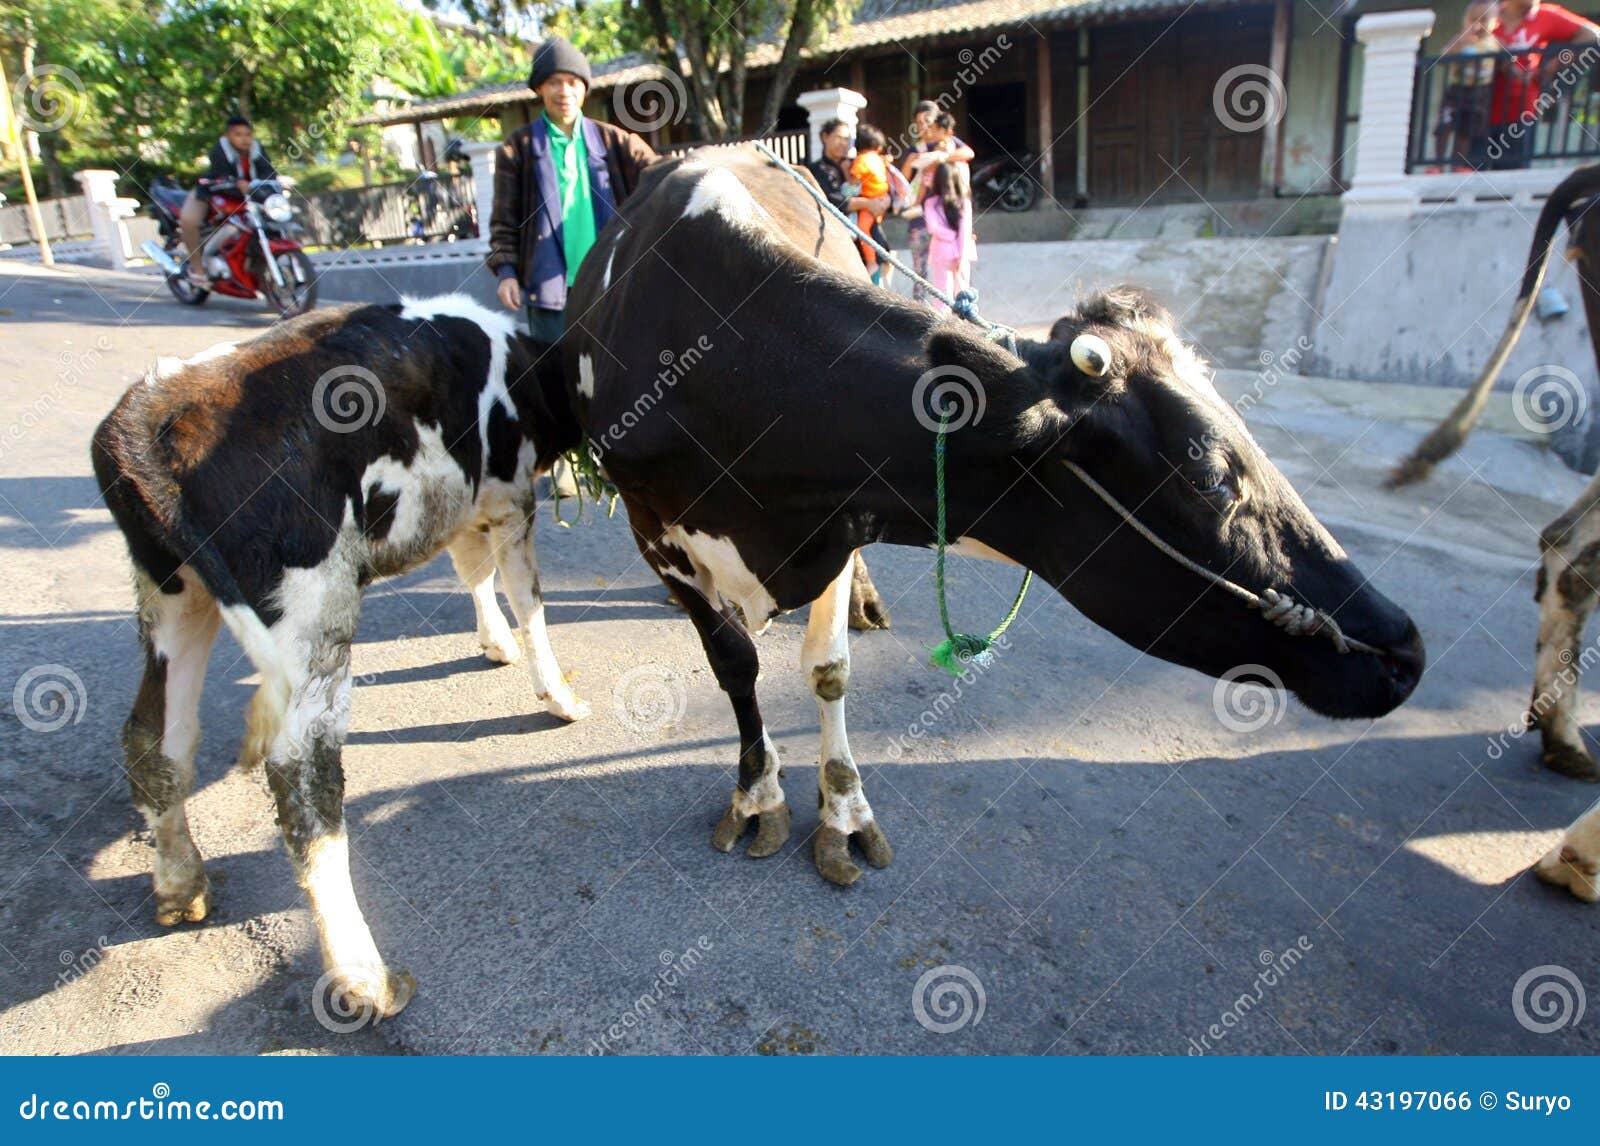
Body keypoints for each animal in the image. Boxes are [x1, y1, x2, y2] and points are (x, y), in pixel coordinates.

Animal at [91, 296, 596, 1020]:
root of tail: (147, 417)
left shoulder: (463, 502)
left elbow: (470, 570)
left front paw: (493, 643)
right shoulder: (508, 498)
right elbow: (527, 598)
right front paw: (558, 694)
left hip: (174, 597)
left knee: (155, 741)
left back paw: (180, 884)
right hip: (315, 613)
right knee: (303, 782)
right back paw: (365, 977)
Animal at [562, 146, 1426, 888]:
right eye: (1213, 477)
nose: (1405, 650)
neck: (746, 367)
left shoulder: (840, 523)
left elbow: (828, 671)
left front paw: (842, 814)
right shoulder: (651, 526)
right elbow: (734, 665)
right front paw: (758, 796)